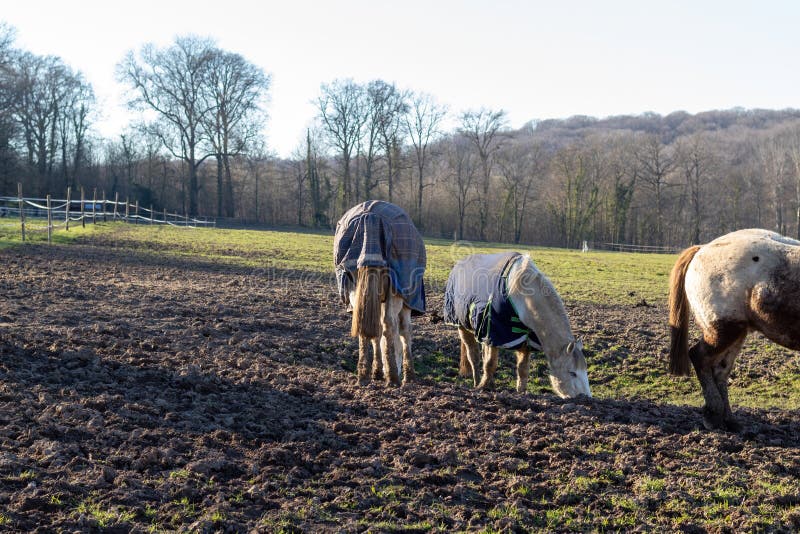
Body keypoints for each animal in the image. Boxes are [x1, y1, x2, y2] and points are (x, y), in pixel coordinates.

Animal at [334, 200, 426, 387]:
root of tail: (371, 215)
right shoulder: (406, 302)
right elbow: (405, 332)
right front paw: (408, 375)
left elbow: (376, 333)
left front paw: (376, 372)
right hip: (395, 293)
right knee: (390, 324)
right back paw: (393, 378)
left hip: (356, 287)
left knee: (365, 325)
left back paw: (363, 375)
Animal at [443, 251, 592, 398]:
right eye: (572, 372)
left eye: (585, 370)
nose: (586, 398)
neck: (521, 294)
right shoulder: (494, 334)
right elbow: (490, 364)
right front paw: (482, 387)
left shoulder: (525, 339)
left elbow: (523, 369)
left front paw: (521, 392)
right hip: (463, 327)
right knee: (473, 356)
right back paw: (477, 382)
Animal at [669, 228, 800, 431]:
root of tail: (703, 248)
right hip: (723, 329)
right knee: (699, 357)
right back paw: (714, 413)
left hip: (737, 333)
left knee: (719, 371)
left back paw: (728, 420)